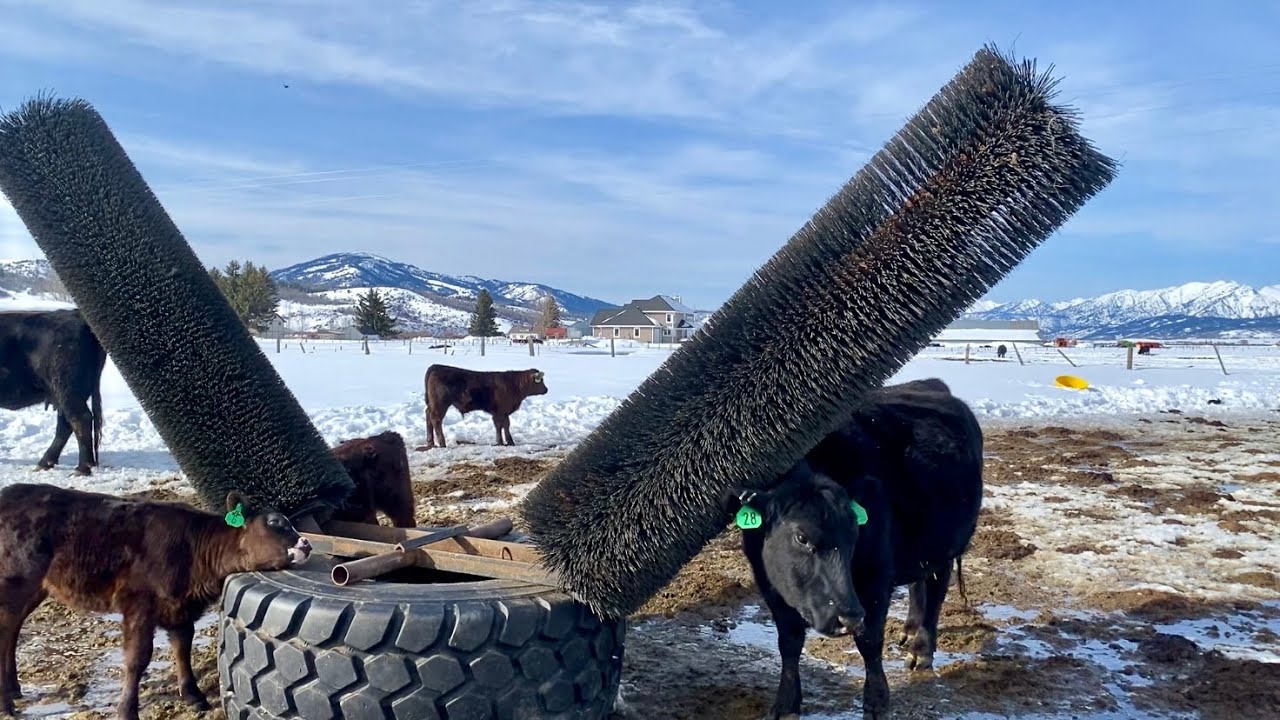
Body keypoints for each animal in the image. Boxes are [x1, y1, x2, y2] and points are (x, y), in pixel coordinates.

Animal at [0, 309, 107, 476]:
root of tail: (75, 314)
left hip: (67, 390)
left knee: (80, 419)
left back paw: (82, 468)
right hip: (65, 394)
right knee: (66, 424)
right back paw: (45, 463)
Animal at [0, 484, 311, 720]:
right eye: (274, 523)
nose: (306, 544)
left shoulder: (180, 607)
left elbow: (182, 648)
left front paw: (194, 696)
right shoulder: (139, 604)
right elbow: (137, 659)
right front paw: (127, 711)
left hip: (34, 589)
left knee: (12, 630)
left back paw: (14, 688)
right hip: (15, 582)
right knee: (5, 631)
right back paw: (6, 704)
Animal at [419, 363, 548, 449]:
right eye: (540, 380)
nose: (546, 389)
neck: (514, 384)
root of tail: (436, 367)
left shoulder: (504, 411)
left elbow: (506, 425)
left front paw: (510, 441)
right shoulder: (499, 411)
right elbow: (499, 426)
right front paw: (500, 442)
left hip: (433, 405)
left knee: (428, 416)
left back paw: (431, 443)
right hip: (440, 404)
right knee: (436, 419)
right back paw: (442, 443)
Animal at [728, 378, 983, 720]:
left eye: (855, 534)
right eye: (801, 537)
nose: (846, 616)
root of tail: (934, 386)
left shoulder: (875, 578)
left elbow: (869, 640)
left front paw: (877, 700)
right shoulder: (771, 584)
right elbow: (789, 643)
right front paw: (786, 702)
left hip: (945, 547)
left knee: (935, 592)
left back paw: (921, 650)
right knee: (919, 586)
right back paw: (907, 631)